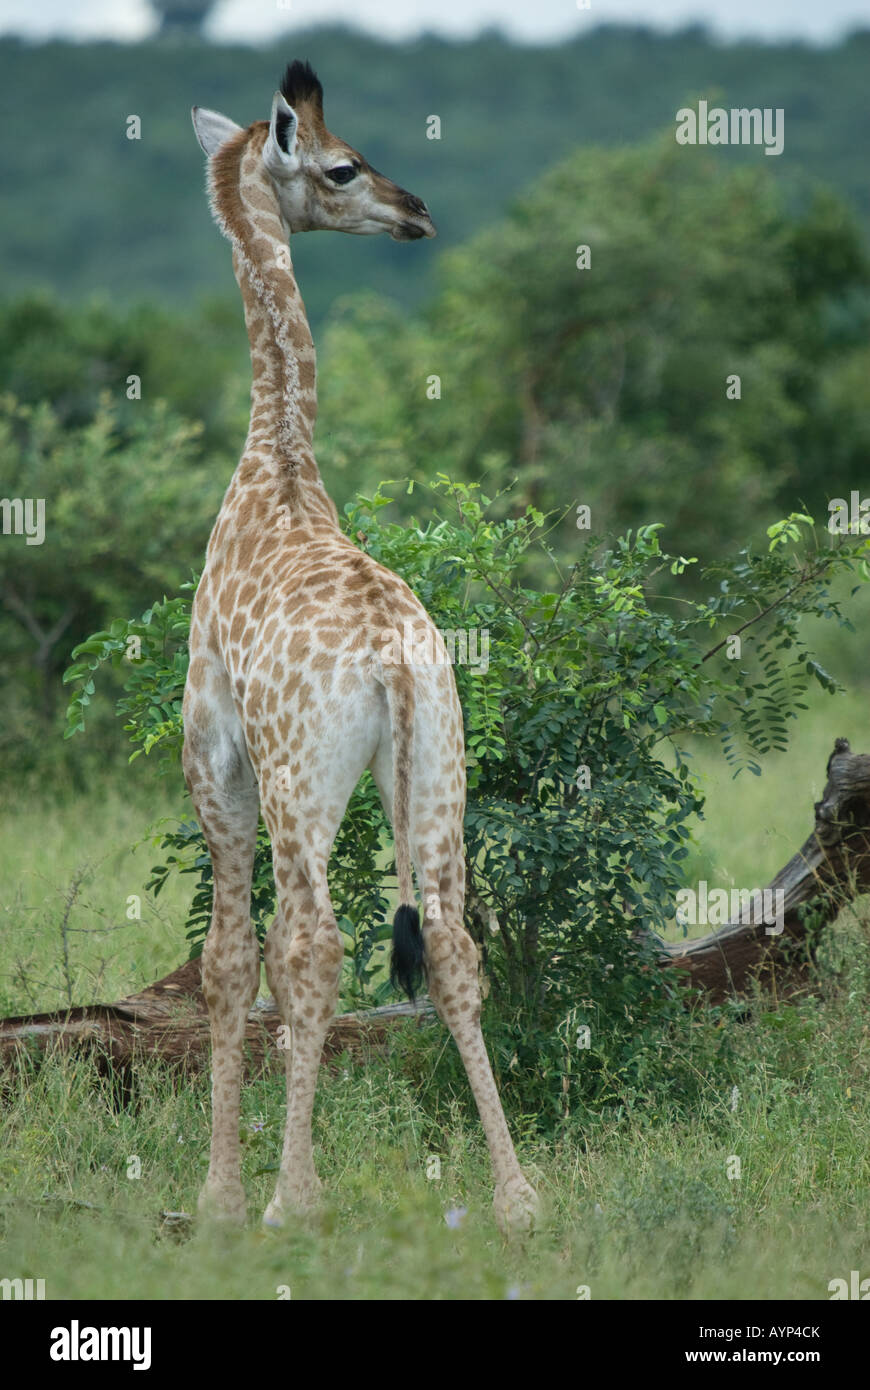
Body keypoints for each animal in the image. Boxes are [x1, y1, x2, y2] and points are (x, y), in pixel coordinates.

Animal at [186, 61, 539, 1234]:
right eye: (342, 169)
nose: (415, 211)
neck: (280, 469)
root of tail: (389, 657)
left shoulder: (216, 756)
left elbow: (226, 961)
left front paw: (217, 1195)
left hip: (305, 780)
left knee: (312, 947)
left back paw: (292, 1201)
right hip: (439, 765)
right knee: (456, 943)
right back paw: (517, 1197)